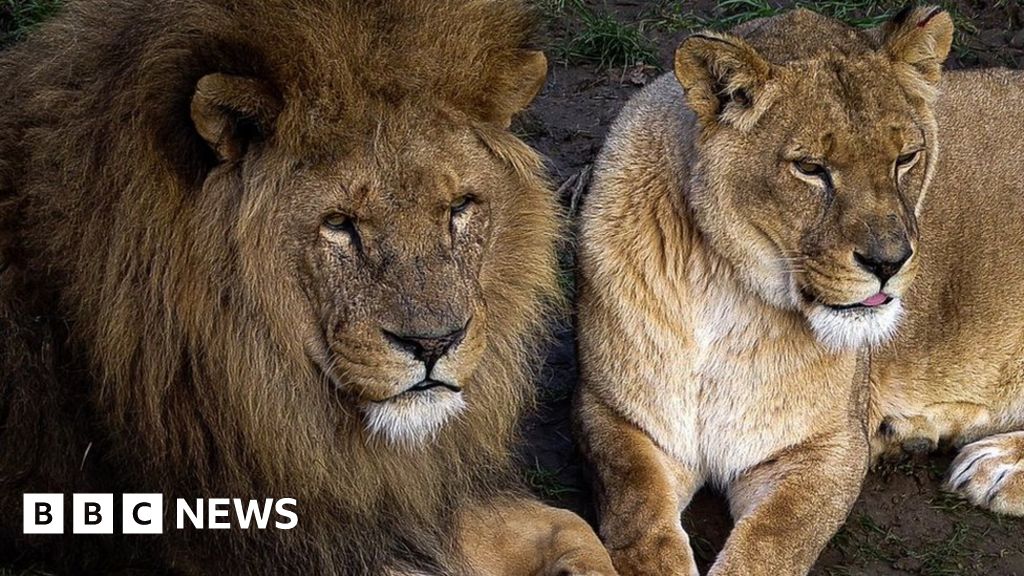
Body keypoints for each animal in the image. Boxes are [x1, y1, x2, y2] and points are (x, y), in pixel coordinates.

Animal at [572, 6, 998, 575]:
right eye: (811, 168)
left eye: (906, 158)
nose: (888, 262)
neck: (726, 288)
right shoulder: (612, 413)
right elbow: (636, 512)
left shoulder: (830, 446)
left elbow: (770, 544)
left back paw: (994, 467)